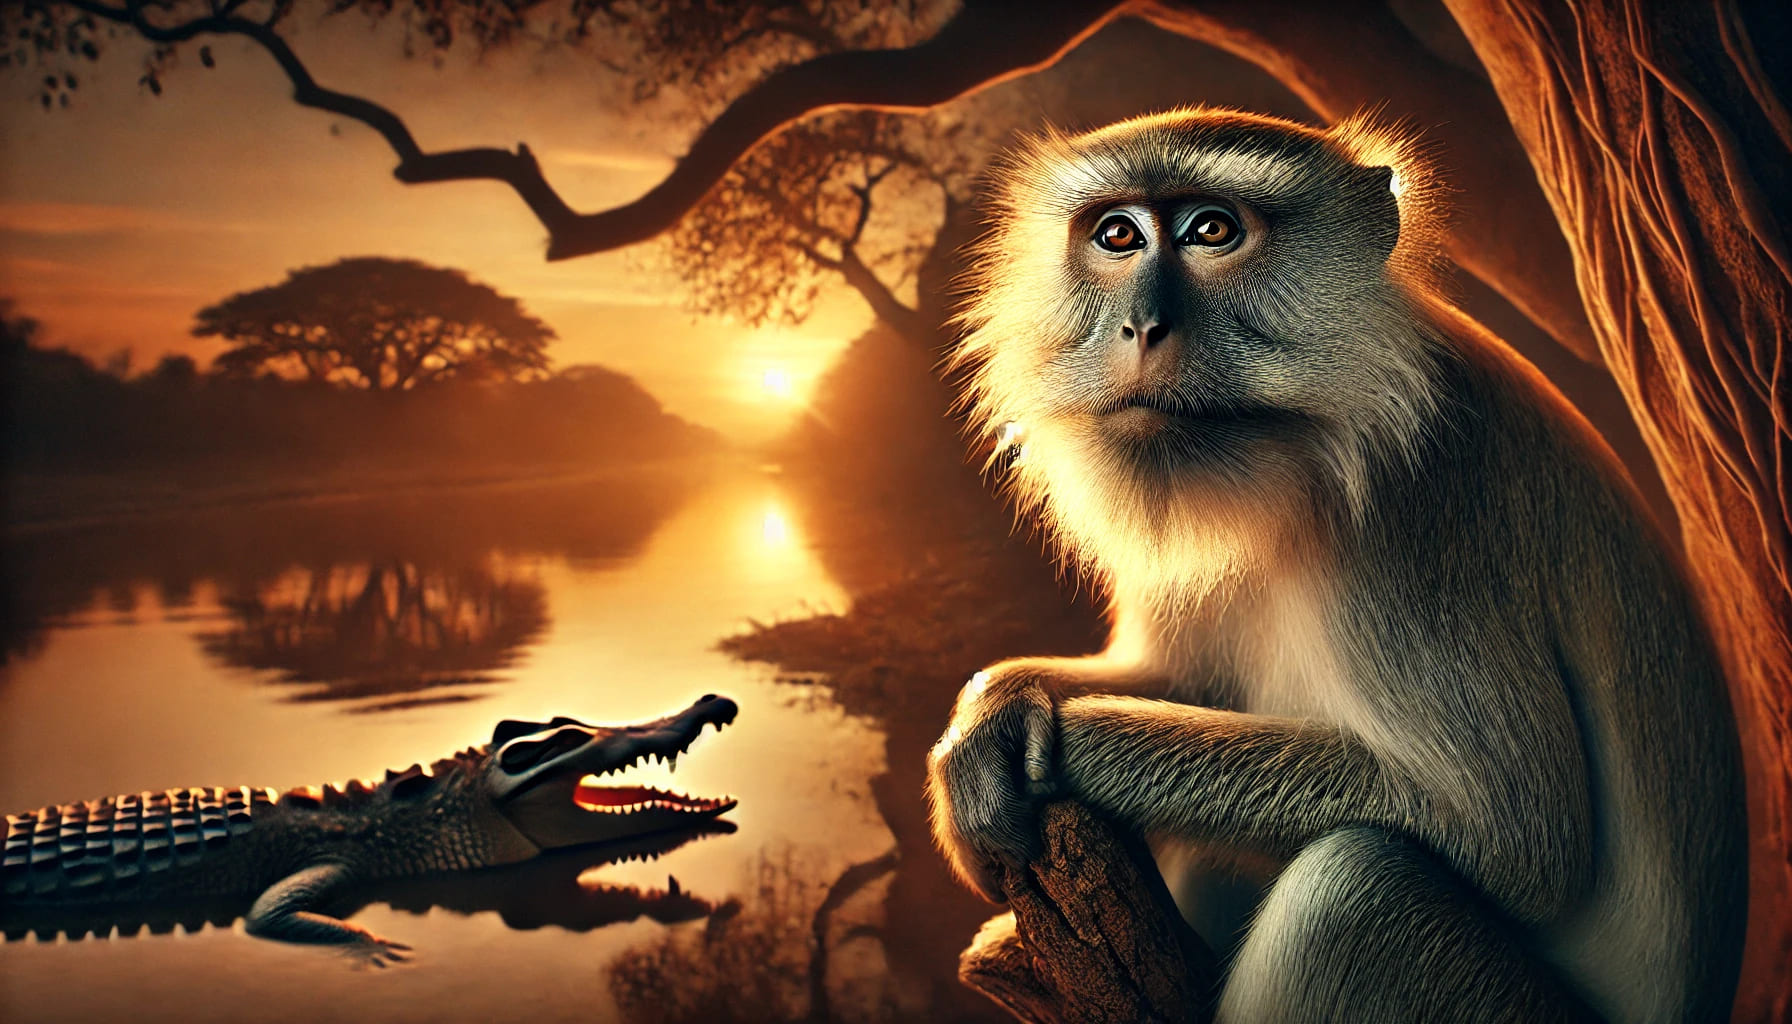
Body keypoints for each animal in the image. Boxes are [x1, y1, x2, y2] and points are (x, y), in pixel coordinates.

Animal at [925, 108, 1747, 1023]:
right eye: (1117, 235)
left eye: (1212, 231)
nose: (1140, 326)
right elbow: (1186, 676)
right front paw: (991, 709)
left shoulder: (1412, 511)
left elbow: (1515, 837)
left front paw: (1063, 740)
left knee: (1352, 888)